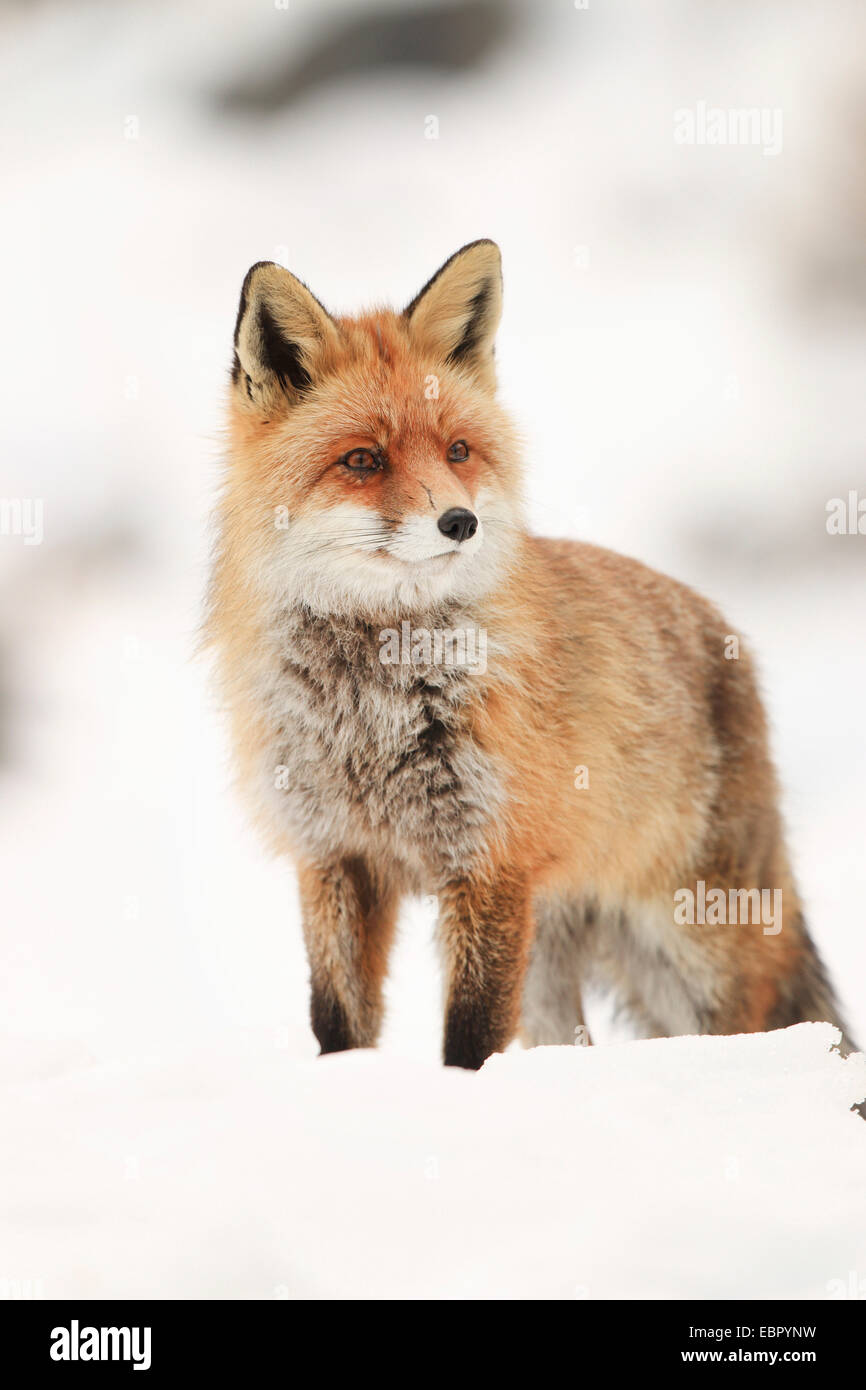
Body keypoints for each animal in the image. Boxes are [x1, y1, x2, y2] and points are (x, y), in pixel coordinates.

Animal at [206, 239, 857, 1074]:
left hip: (695, 947)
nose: (461, 521)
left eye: (458, 451)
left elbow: (470, 1038)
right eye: (364, 460)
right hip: (554, 954)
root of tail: (723, 633)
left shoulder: (489, 862)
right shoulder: (334, 859)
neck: (373, 707)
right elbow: (338, 1025)